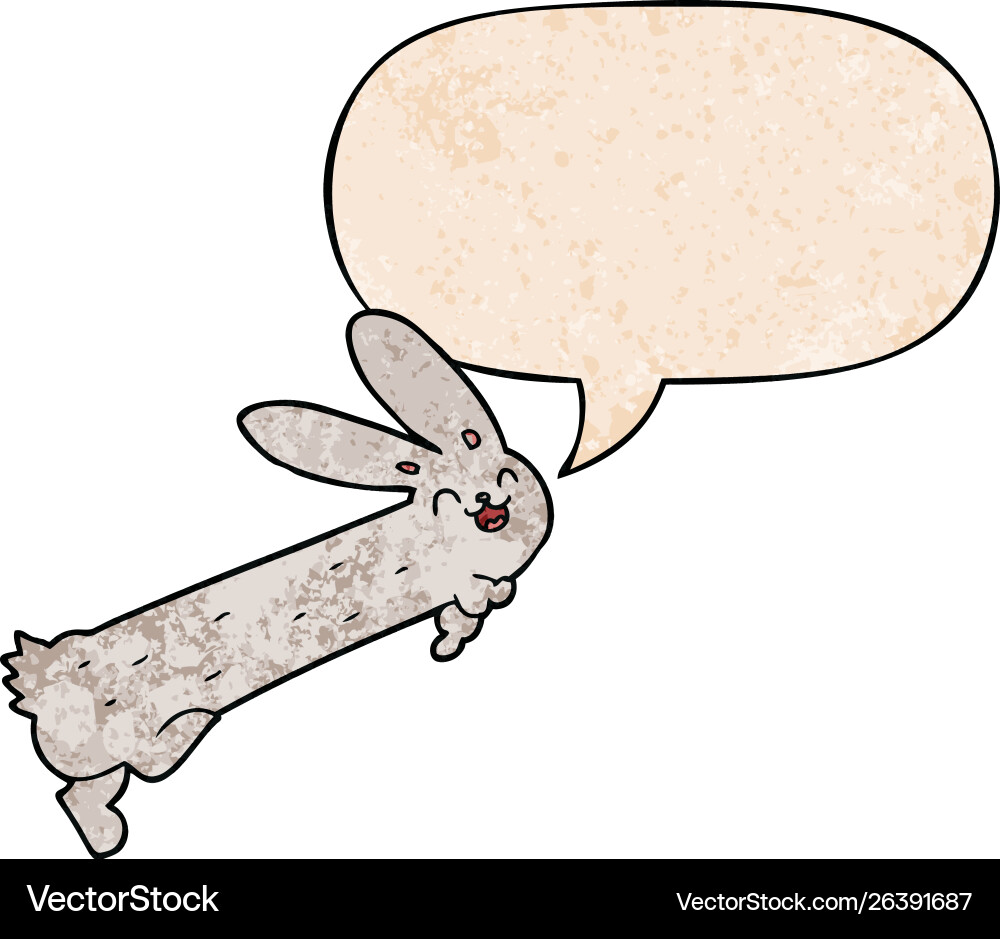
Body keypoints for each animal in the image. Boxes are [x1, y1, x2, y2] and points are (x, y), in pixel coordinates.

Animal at [2, 311, 552, 859]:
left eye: (474, 439)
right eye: (412, 468)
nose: (485, 495)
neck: (441, 530)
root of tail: (38, 681)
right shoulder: (458, 577)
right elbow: (472, 601)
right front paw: (463, 626)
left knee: (78, 792)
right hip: (139, 741)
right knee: (106, 779)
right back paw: (119, 822)